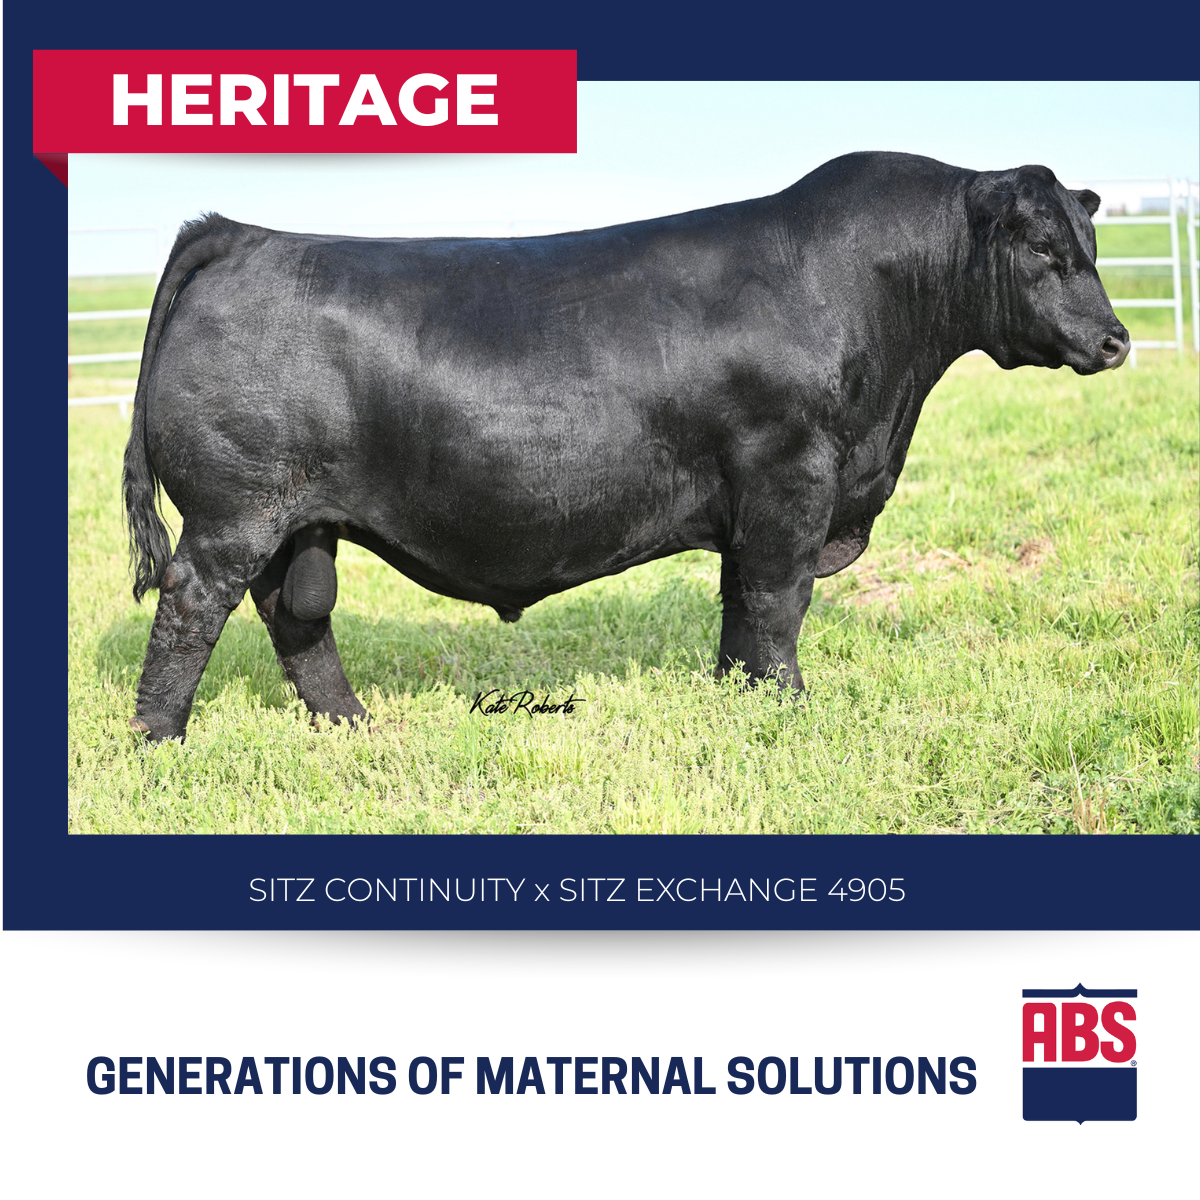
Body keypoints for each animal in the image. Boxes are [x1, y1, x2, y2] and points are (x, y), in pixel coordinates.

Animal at [122, 151, 1129, 742]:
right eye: (1042, 249)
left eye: (1088, 241)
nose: (1116, 340)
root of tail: (241, 234)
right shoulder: (792, 479)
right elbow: (778, 600)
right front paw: (790, 710)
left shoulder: (758, 500)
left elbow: (740, 606)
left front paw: (739, 697)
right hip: (233, 512)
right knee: (193, 603)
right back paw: (160, 742)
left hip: (298, 519)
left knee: (298, 614)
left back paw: (355, 726)